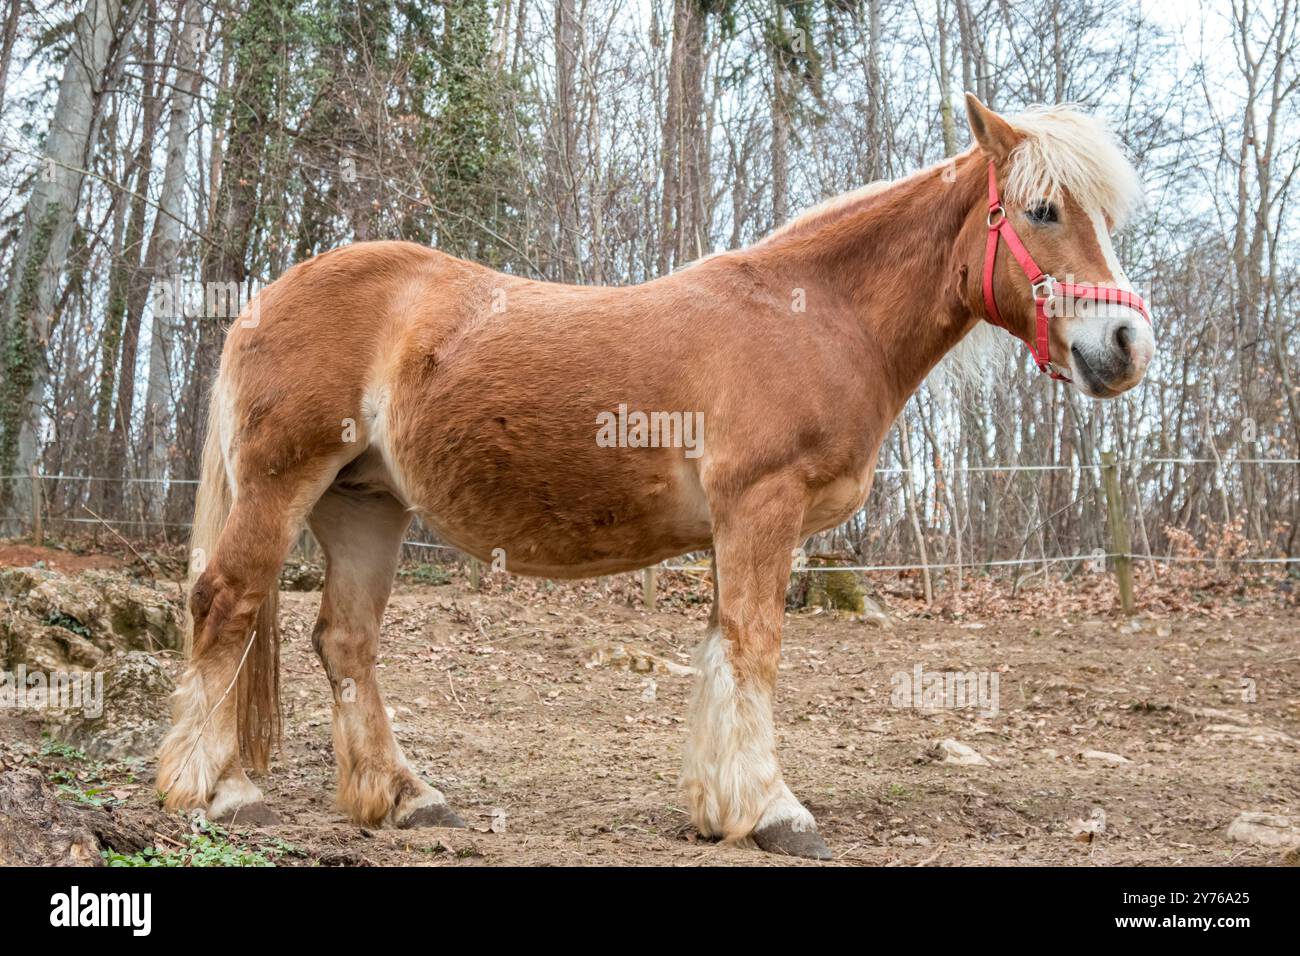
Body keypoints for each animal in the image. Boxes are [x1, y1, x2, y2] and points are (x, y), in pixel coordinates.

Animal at [155, 95, 1155, 859]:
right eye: (1043, 211)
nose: (1125, 345)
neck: (815, 316)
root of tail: (261, 300)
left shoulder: (736, 527)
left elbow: (720, 650)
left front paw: (719, 810)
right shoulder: (761, 509)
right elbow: (754, 649)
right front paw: (776, 811)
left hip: (365, 505)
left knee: (345, 642)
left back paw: (407, 797)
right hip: (280, 487)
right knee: (225, 605)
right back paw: (222, 791)